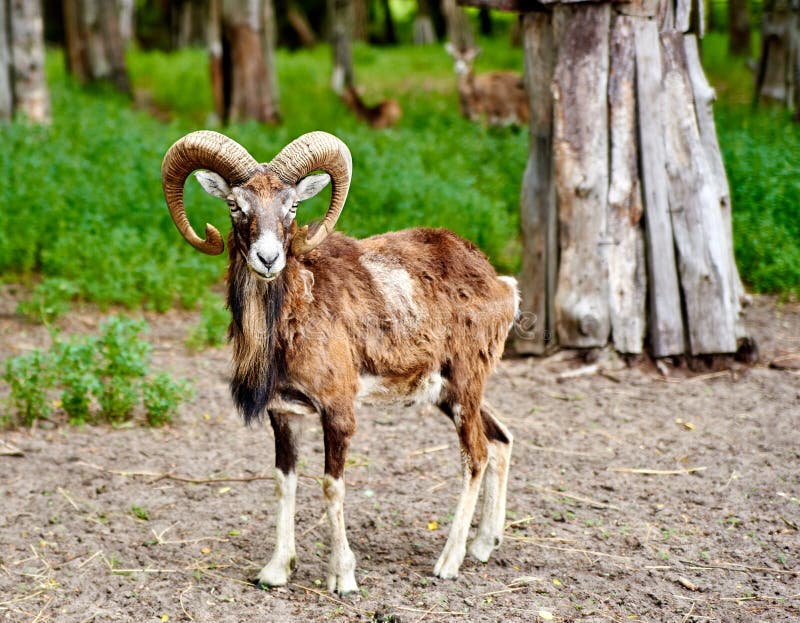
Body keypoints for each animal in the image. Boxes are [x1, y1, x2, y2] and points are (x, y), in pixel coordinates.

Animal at [161, 130, 517, 595]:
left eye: (292, 206)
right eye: (236, 205)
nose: (268, 259)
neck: (294, 318)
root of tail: (502, 285)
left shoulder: (338, 412)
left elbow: (332, 487)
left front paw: (343, 577)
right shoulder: (284, 413)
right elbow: (284, 483)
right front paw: (274, 572)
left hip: (463, 388)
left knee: (476, 455)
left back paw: (449, 562)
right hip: (450, 393)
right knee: (501, 440)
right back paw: (483, 546)